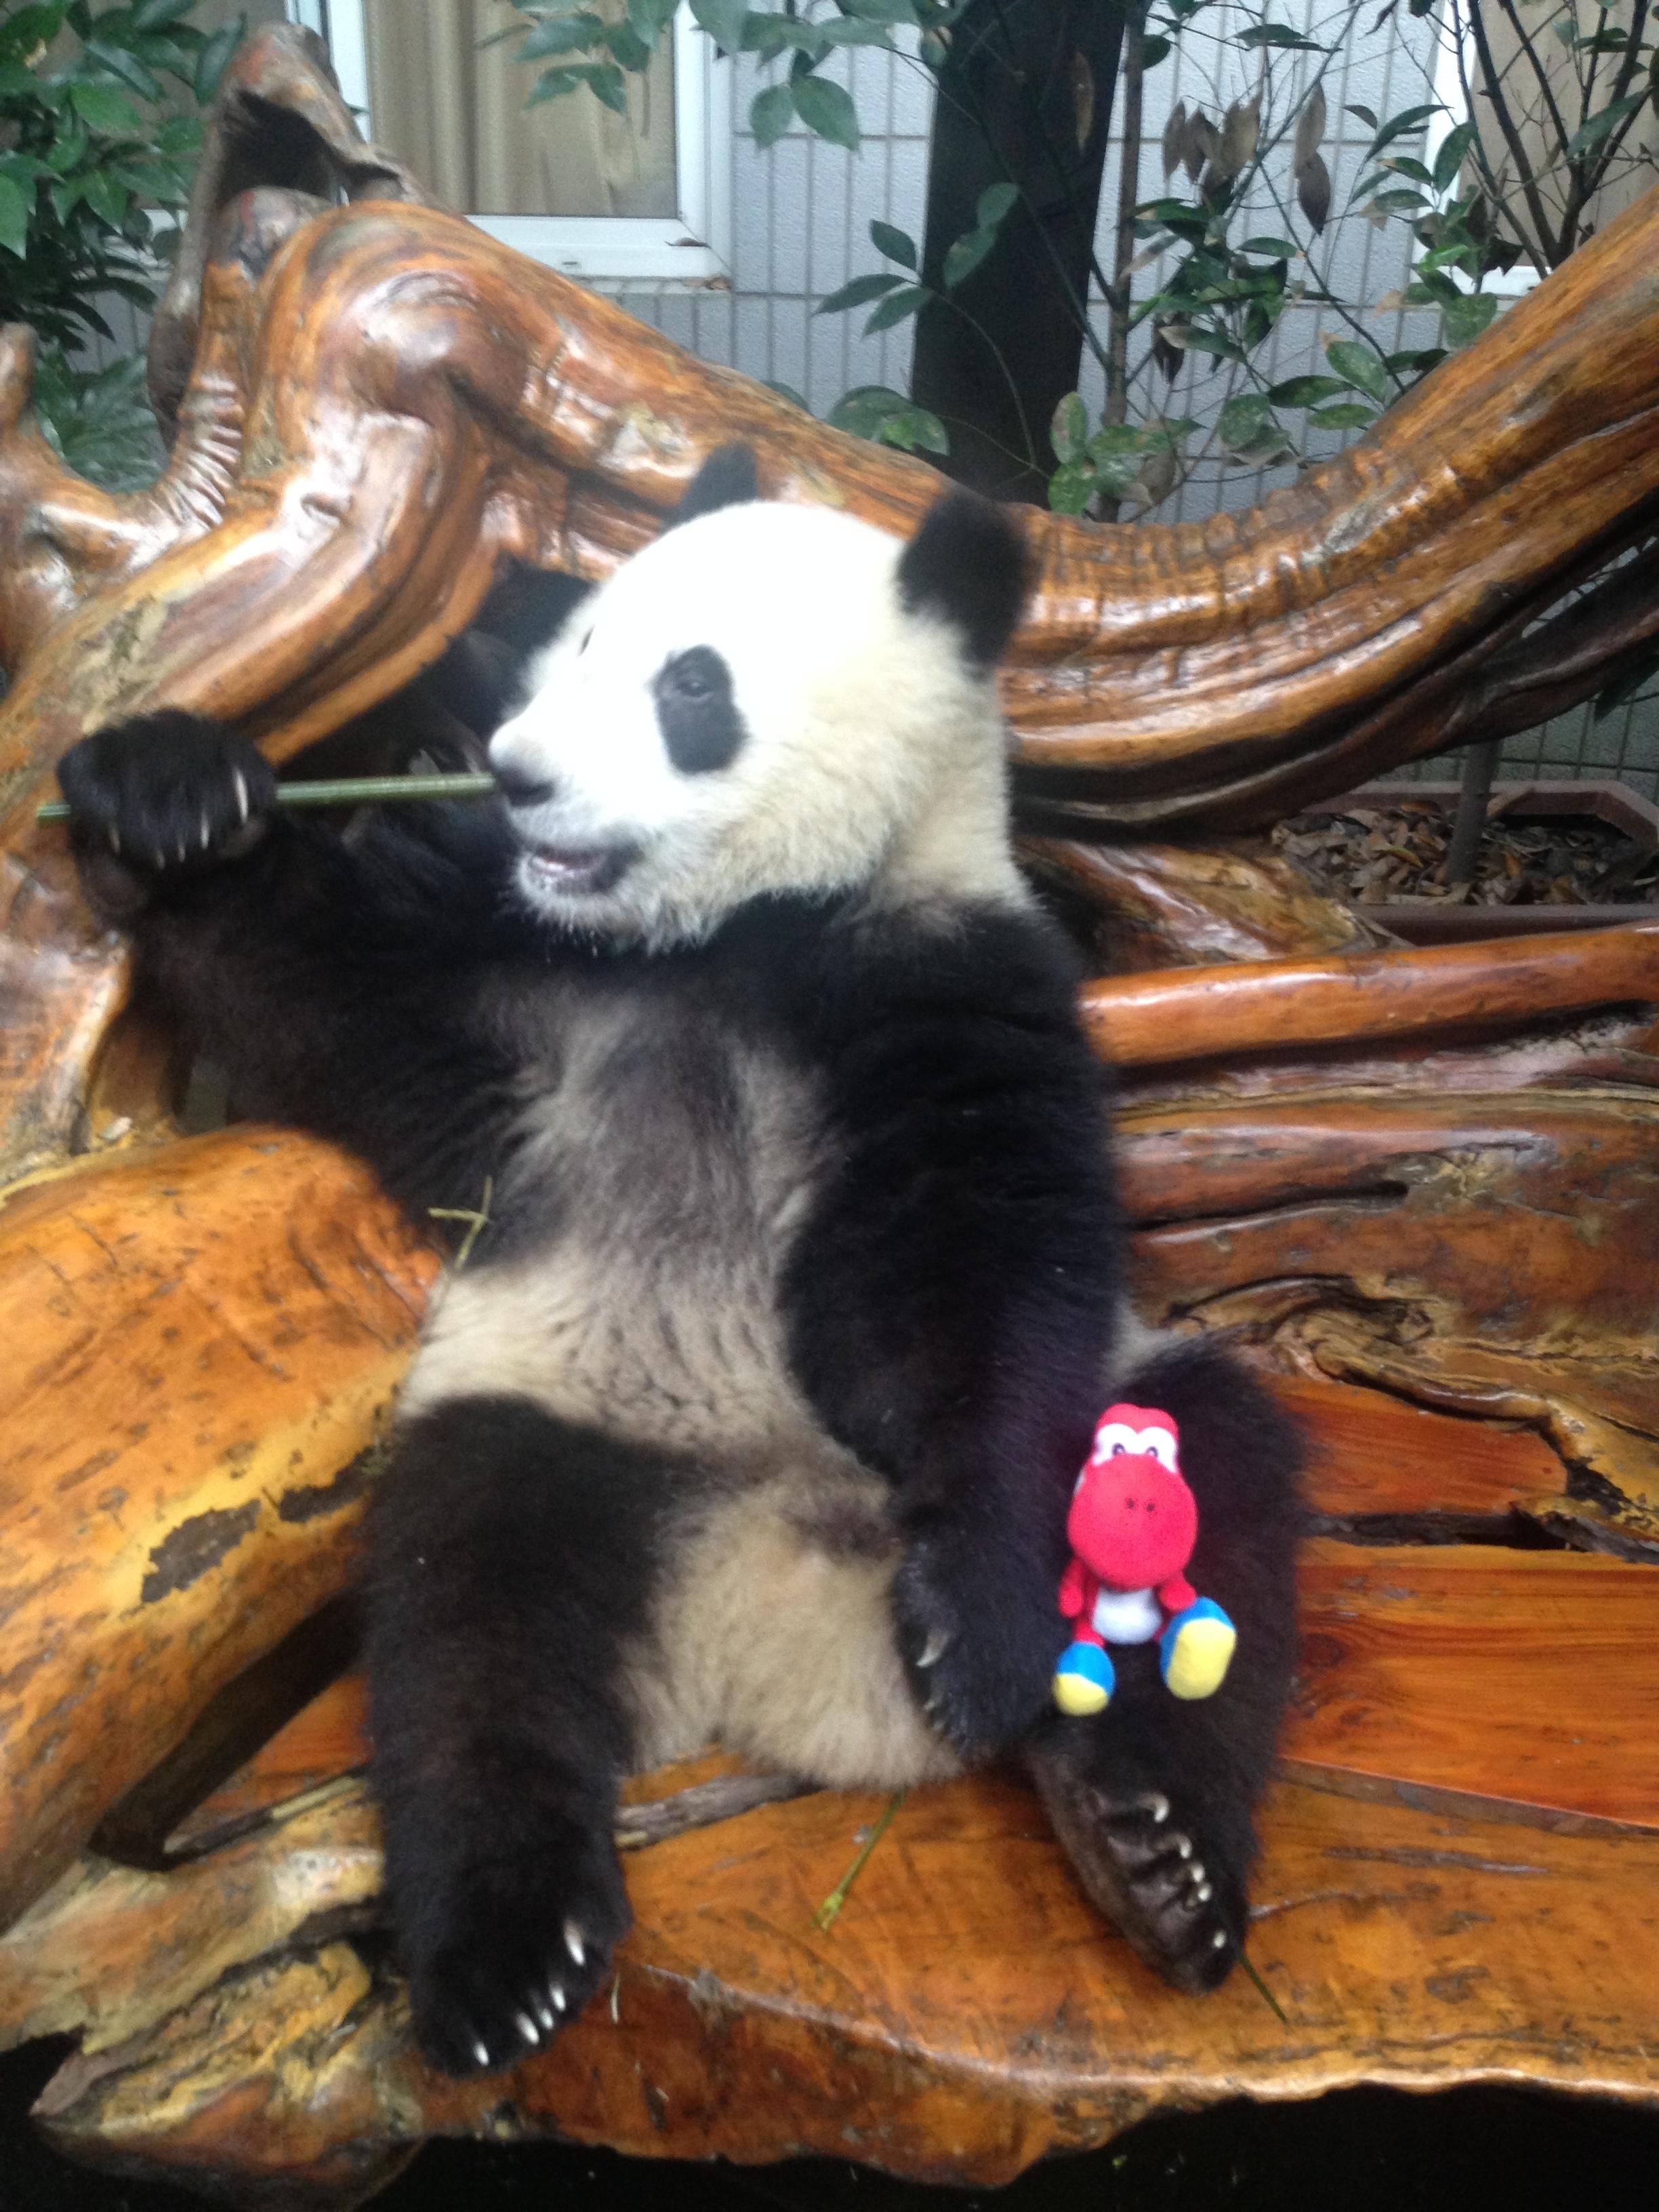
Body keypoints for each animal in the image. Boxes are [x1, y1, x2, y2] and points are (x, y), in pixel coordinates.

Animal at [59, 450, 1302, 2078]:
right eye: (581, 638)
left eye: (689, 686)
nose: (514, 770)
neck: (720, 939)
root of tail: (765, 1652)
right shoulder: (510, 987)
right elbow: (313, 981)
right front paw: (169, 793)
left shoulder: (952, 975)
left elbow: (988, 1294)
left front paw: (981, 1632)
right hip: (550, 1425)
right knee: (473, 1631)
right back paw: (508, 1958)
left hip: (1137, 1407)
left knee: (1230, 1467)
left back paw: (1151, 1850)